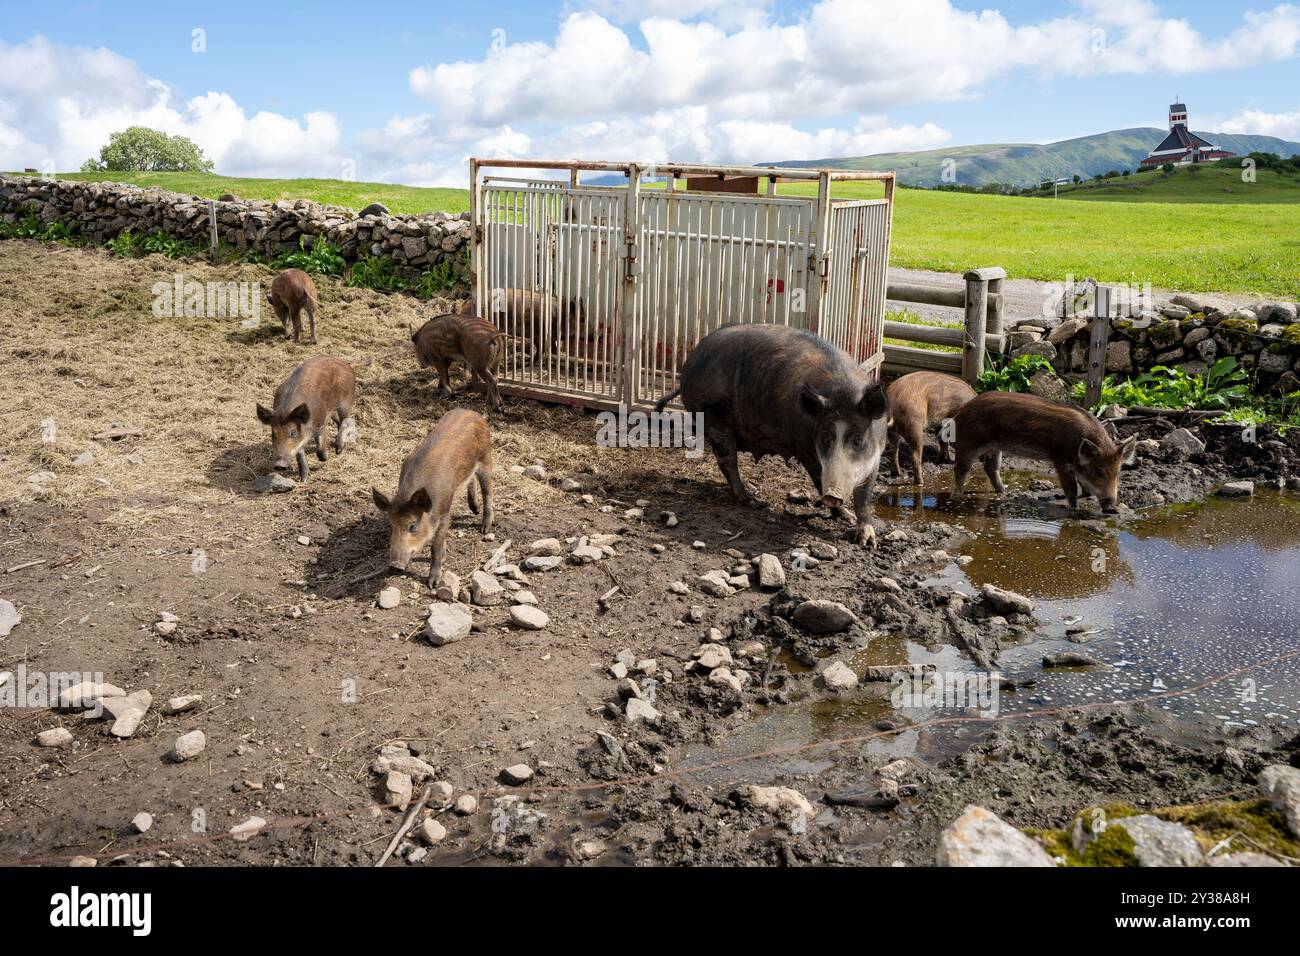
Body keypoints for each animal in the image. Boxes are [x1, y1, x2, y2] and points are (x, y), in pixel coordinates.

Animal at [371, 409, 494, 587]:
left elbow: (435, 545)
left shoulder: (444, 512)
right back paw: (474, 509)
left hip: (486, 458)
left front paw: (433, 583)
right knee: (471, 480)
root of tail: (474, 413)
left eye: (413, 526)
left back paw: (484, 529)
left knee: (488, 491)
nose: (394, 566)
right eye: (391, 526)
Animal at [656, 324, 890, 546]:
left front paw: (864, 537)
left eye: (858, 439)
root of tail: (691, 360)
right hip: (714, 416)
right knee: (727, 461)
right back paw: (754, 501)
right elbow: (817, 478)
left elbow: (864, 498)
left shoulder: (876, 456)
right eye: (825, 436)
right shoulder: (804, 448)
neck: (843, 393)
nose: (833, 495)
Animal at [951, 391, 1138, 513]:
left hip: (995, 448)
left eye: (1118, 473)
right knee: (960, 468)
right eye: (1098, 473)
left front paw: (1087, 496)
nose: (1112, 509)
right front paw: (1074, 508)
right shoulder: (1061, 459)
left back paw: (1003, 492)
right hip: (969, 444)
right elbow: (1071, 487)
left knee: (991, 468)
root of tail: (961, 411)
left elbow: (1082, 482)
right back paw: (957, 496)